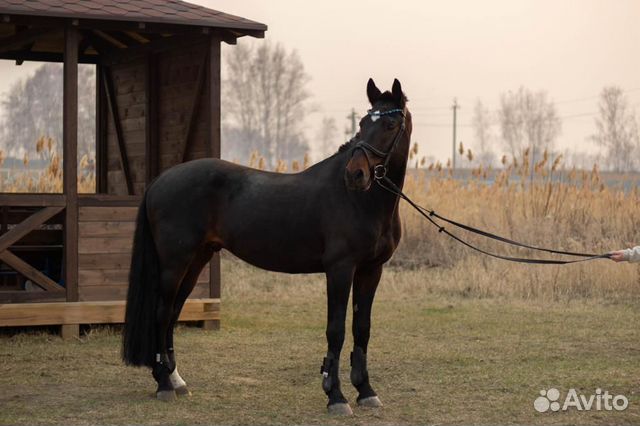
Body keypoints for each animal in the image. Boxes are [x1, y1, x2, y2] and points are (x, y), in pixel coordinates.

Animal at [122, 78, 413, 415]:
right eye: (364, 123)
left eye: (389, 124)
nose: (355, 174)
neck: (360, 201)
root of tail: (159, 181)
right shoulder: (340, 269)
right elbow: (336, 329)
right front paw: (336, 396)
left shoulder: (371, 270)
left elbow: (361, 327)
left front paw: (366, 391)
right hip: (174, 263)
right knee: (161, 312)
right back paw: (164, 385)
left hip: (195, 262)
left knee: (172, 313)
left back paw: (175, 380)